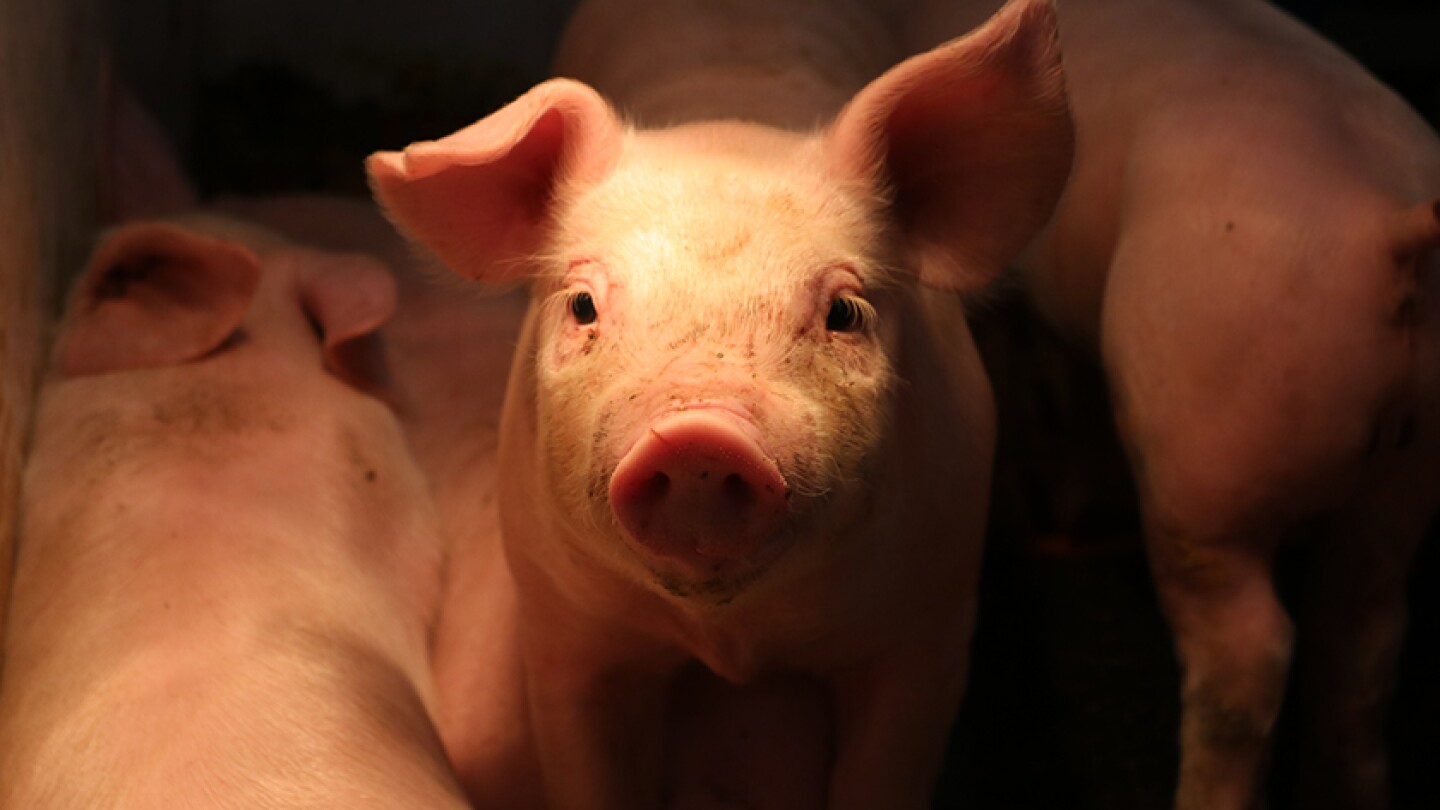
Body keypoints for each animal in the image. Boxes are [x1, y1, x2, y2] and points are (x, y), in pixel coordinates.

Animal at [366, 0, 1074, 807]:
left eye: (844, 313)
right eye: (582, 305)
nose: (698, 438)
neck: (736, 645)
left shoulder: (929, 625)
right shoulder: (566, 634)